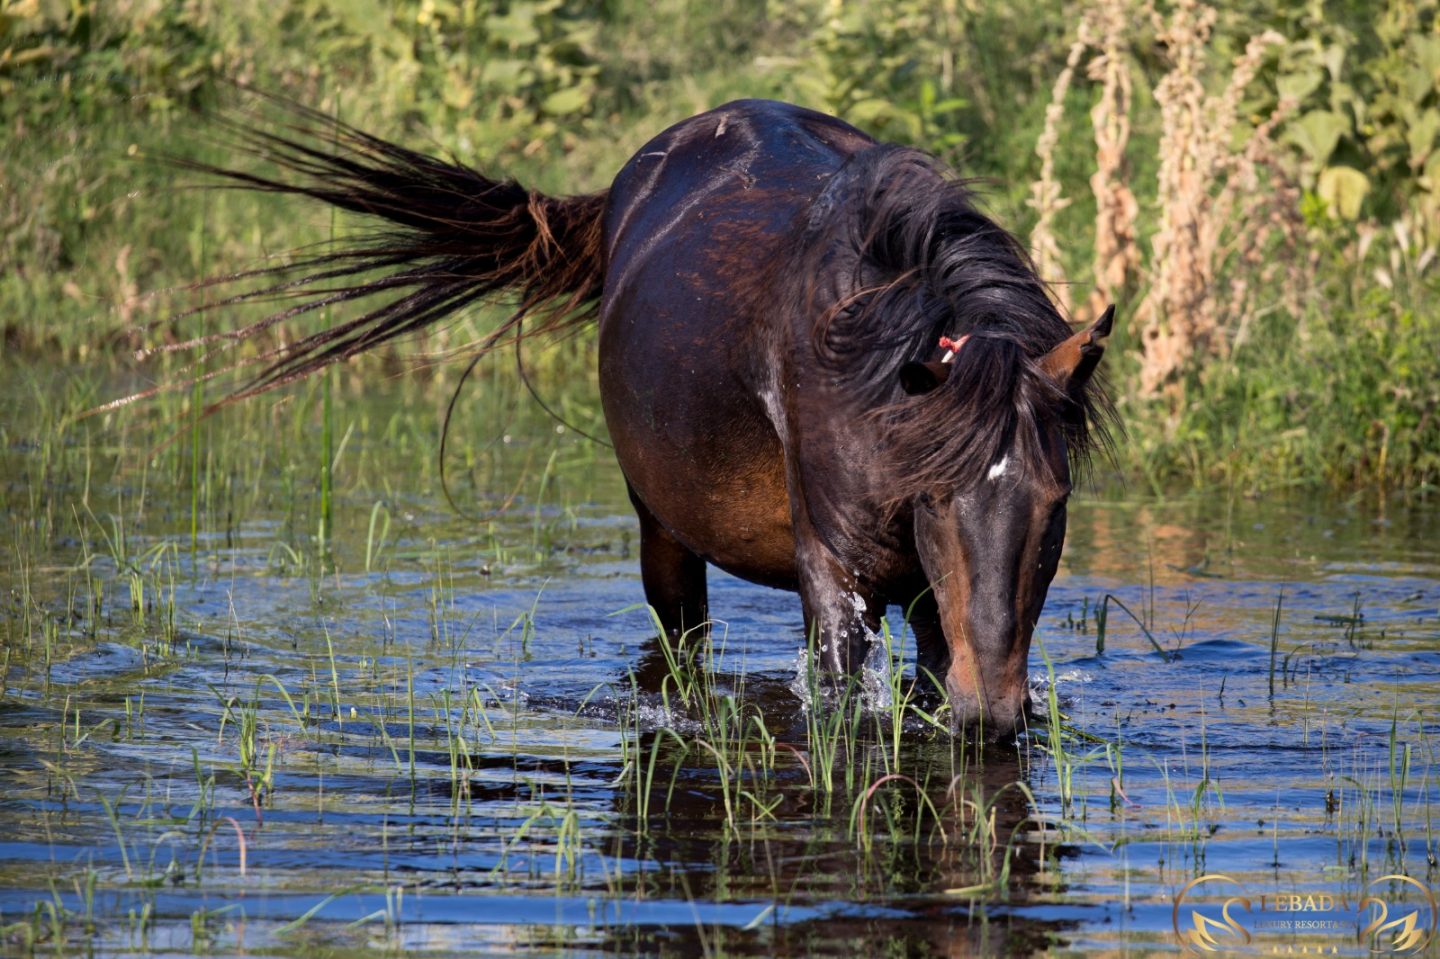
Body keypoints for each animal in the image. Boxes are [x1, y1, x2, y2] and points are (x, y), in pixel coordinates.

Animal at [176, 97, 1115, 736]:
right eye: (939, 499)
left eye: (1054, 501)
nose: (992, 712)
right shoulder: (835, 576)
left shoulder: (932, 603)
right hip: (661, 532)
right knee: (678, 644)